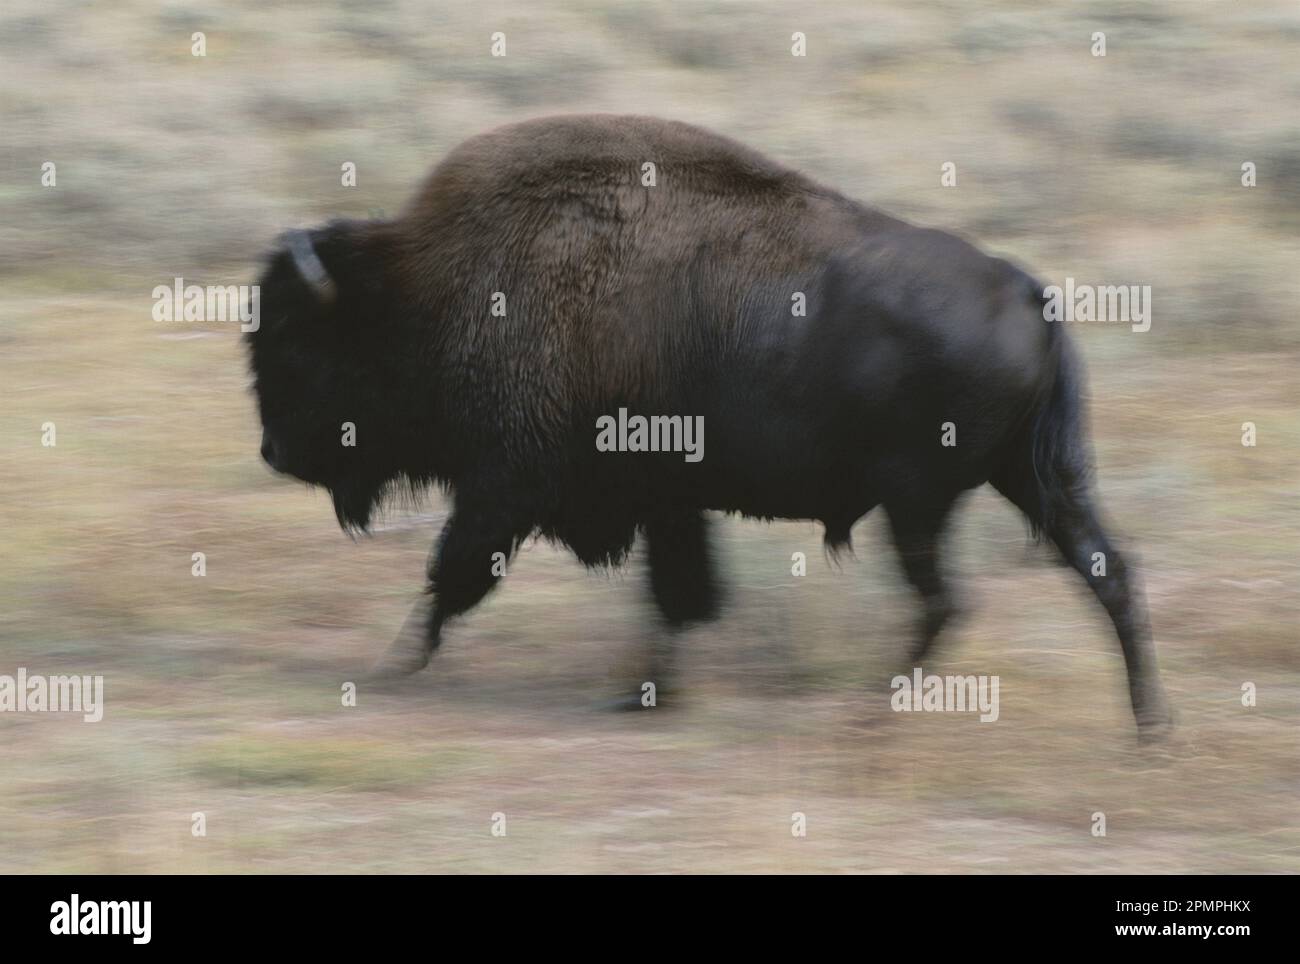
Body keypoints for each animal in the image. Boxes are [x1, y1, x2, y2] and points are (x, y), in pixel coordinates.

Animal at [247, 114, 1172, 741]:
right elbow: (680, 595)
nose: (273, 451)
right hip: (1030, 479)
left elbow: (455, 570)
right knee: (1104, 572)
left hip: (920, 501)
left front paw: (394, 664)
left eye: (299, 345)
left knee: (948, 598)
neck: (430, 291)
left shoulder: (508, 485)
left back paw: (880, 709)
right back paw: (1147, 727)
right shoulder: (665, 499)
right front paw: (641, 694)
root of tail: (1024, 290)